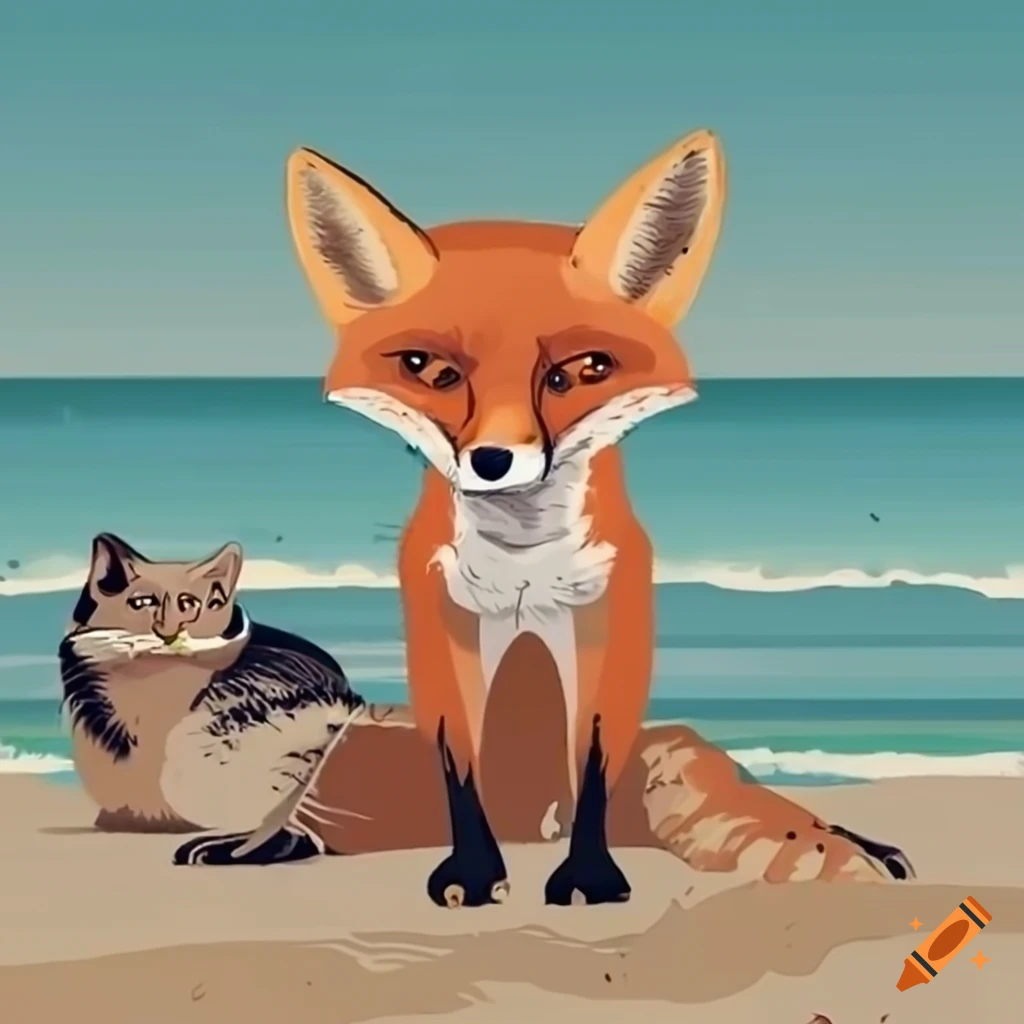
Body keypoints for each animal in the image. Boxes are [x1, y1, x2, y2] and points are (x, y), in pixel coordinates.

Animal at [284, 129, 914, 907]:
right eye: (430, 370)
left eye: (583, 370)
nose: (493, 460)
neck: (523, 564)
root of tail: (530, 820)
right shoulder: (442, 638)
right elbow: (461, 770)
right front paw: (474, 872)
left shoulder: (609, 634)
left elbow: (594, 772)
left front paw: (589, 877)